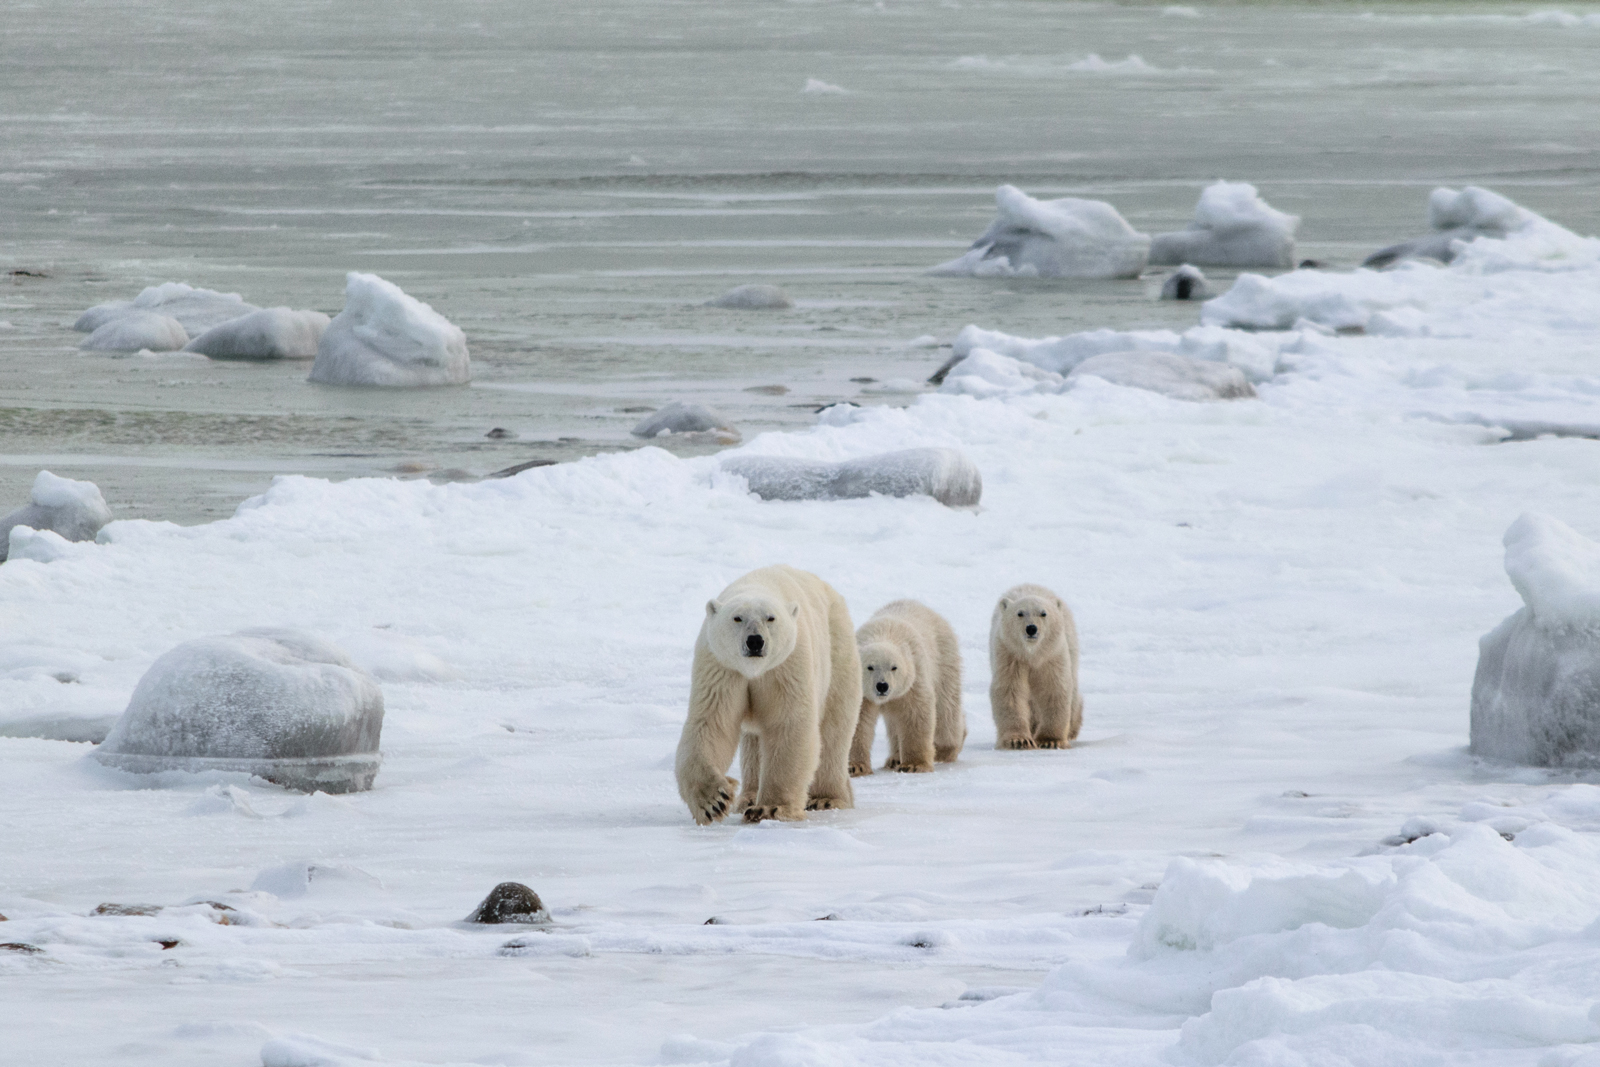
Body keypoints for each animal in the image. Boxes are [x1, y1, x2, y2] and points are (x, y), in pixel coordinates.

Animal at [675, 565, 862, 824]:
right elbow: (712, 722)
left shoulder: (786, 666)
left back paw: (827, 798)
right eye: (737, 617)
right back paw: (747, 798)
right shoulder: (721, 667)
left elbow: (788, 723)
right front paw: (714, 801)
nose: (755, 641)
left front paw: (770, 808)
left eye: (770, 618)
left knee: (834, 730)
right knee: (752, 742)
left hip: (837, 653)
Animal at [847, 600, 966, 776]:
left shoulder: (914, 676)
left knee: (946, 712)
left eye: (894, 667)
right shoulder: (861, 692)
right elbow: (858, 721)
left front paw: (914, 765)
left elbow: (915, 714)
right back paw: (894, 758)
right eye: (870, 667)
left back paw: (946, 750)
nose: (882, 686)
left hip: (944, 662)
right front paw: (855, 766)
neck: (884, 632)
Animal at [989, 583, 1082, 750]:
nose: (1031, 628)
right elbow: (1010, 689)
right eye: (1020, 613)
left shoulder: (1052, 655)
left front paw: (1050, 740)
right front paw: (1018, 741)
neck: (1032, 653)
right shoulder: (1010, 655)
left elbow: (1054, 688)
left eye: (1043, 613)